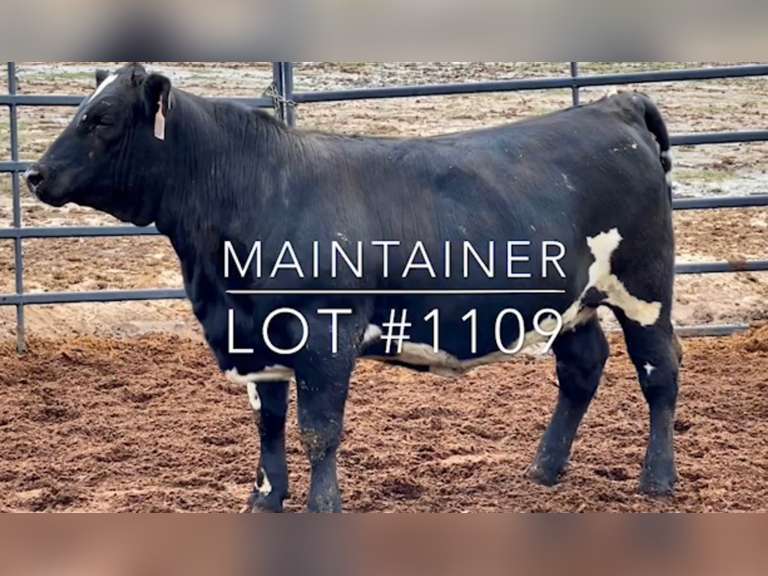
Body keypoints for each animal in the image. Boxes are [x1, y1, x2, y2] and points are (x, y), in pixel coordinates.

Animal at [27, 63, 681, 512]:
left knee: (659, 372)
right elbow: (268, 424)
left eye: (102, 118)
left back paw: (657, 479)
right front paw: (265, 499)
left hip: (644, 287)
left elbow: (319, 432)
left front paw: (323, 507)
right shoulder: (254, 339)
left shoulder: (324, 334)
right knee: (582, 367)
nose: (34, 173)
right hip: (571, 302)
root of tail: (617, 106)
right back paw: (544, 469)